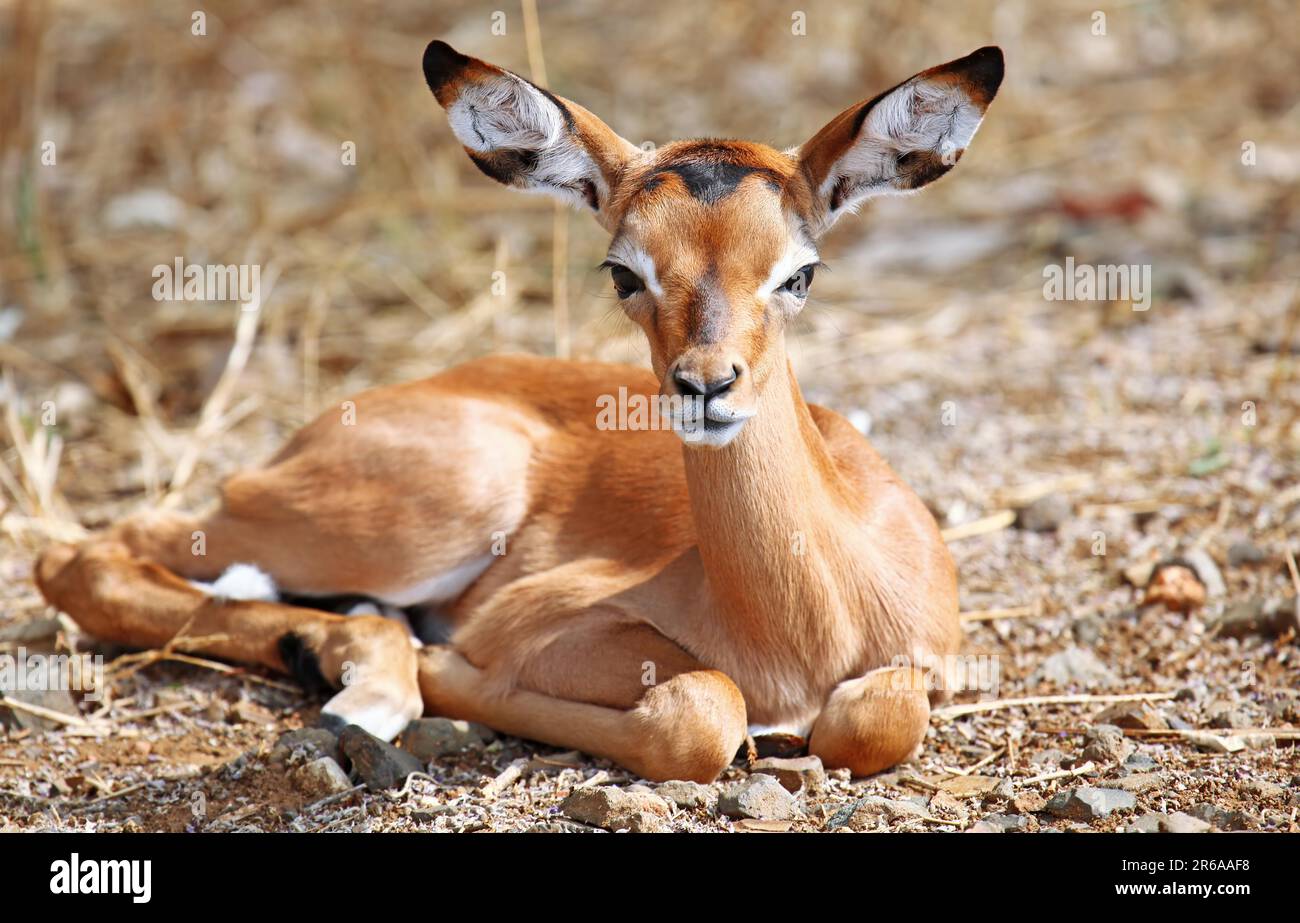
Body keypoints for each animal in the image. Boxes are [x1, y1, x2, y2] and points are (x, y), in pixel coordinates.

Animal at [34, 40, 1004, 783]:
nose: (704, 385)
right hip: (413, 520)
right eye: (624, 271)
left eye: (799, 271)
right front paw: (453, 671)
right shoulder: (536, 621)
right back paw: (369, 679)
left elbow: (870, 718)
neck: (804, 621)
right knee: (81, 554)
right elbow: (700, 708)